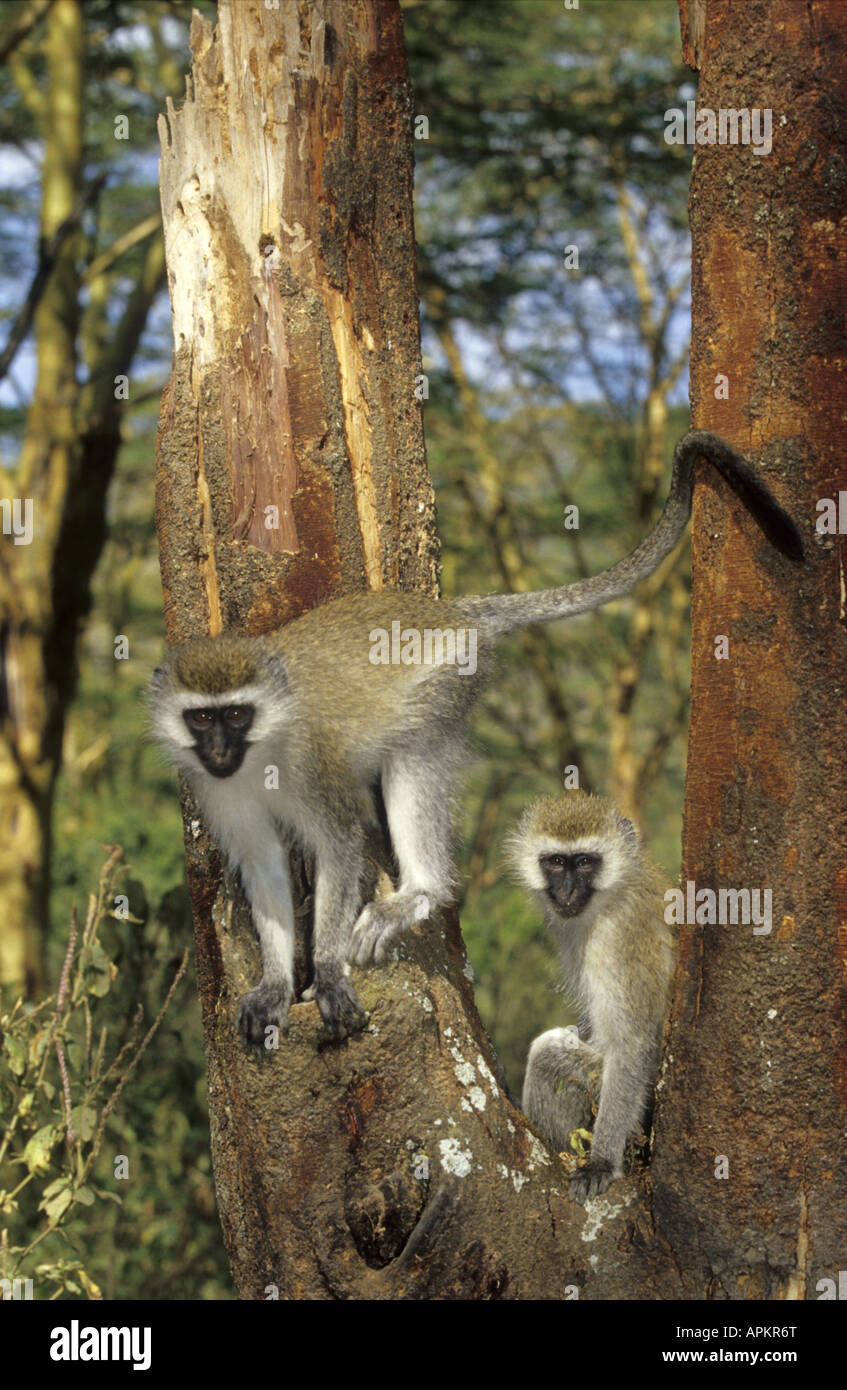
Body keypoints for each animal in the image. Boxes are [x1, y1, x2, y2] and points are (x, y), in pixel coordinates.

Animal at [148, 430, 800, 1054]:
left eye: (238, 714)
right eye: (203, 720)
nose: (221, 751)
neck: (259, 755)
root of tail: (452, 614)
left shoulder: (313, 767)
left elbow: (339, 845)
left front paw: (328, 972)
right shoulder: (213, 791)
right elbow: (262, 861)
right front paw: (277, 984)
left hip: (445, 682)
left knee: (413, 758)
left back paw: (421, 890)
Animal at [506, 792, 675, 1204]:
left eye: (584, 862)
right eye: (555, 861)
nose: (567, 892)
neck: (613, 893)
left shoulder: (622, 940)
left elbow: (630, 1045)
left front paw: (601, 1163)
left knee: (548, 1052)